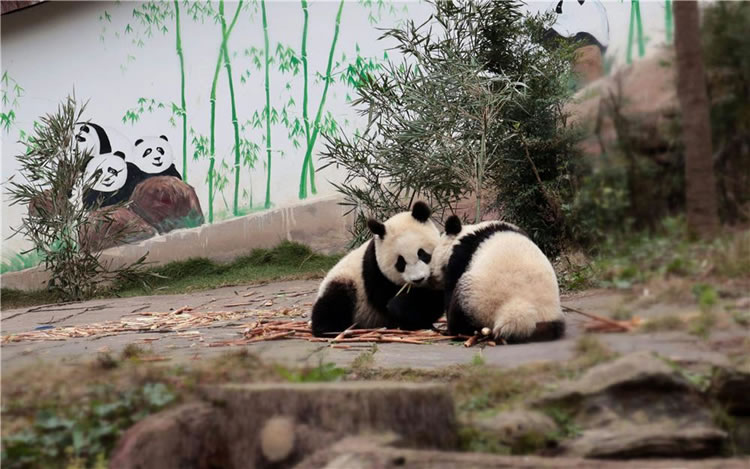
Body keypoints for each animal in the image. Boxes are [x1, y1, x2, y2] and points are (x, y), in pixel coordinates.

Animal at [311, 201, 445, 337]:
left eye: (422, 254)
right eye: (400, 263)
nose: (418, 279)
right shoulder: (374, 270)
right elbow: (383, 299)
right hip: (345, 282)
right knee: (334, 303)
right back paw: (331, 329)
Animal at [430, 216, 565, 343]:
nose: (432, 275)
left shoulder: (461, 256)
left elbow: (450, 287)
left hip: (478, 299)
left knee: (460, 308)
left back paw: (454, 331)